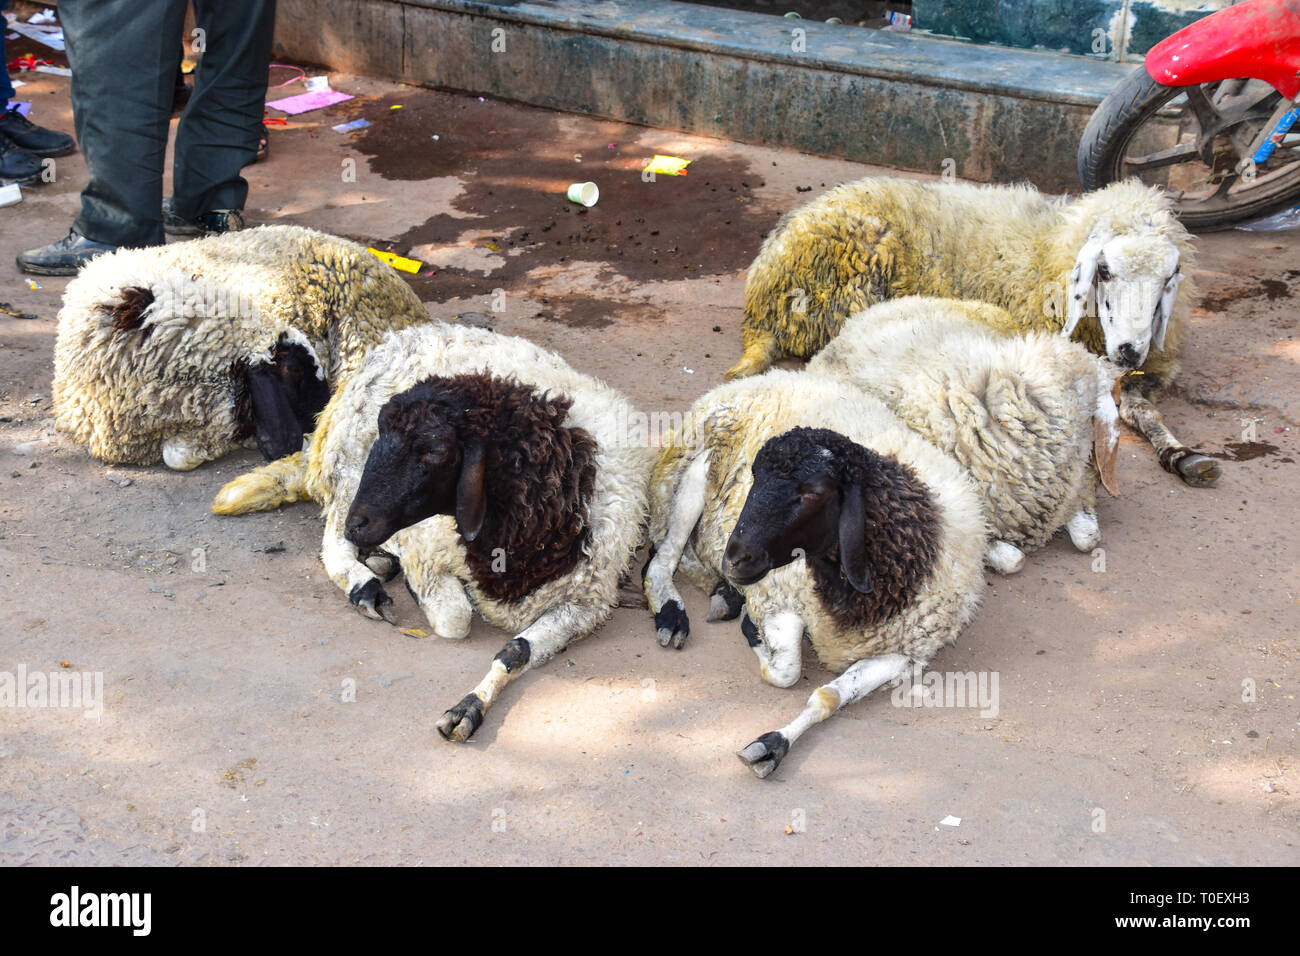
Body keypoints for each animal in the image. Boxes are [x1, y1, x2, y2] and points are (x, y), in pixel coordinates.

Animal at [215, 329, 660, 749]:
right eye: (382, 433)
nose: (360, 524)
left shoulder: (585, 605)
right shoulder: (425, 544)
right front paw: (414, 589)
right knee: (333, 544)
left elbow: (516, 651)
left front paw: (469, 708)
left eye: (434, 451)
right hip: (347, 467)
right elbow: (455, 619)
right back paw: (366, 580)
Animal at [639, 371, 982, 780]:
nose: (734, 559)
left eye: (814, 492)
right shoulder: (778, 597)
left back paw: (725, 593)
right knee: (662, 559)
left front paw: (773, 745)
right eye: (753, 475)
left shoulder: (902, 654)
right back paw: (674, 613)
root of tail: (772, 376)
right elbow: (786, 671)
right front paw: (752, 630)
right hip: (694, 470)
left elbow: (828, 696)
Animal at [728, 179, 1211, 489]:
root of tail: (761, 303)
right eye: (1105, 271)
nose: (1130, 351)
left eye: (1170, 277)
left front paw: (1184, 455)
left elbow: (1141, 409)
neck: (1050, 246)